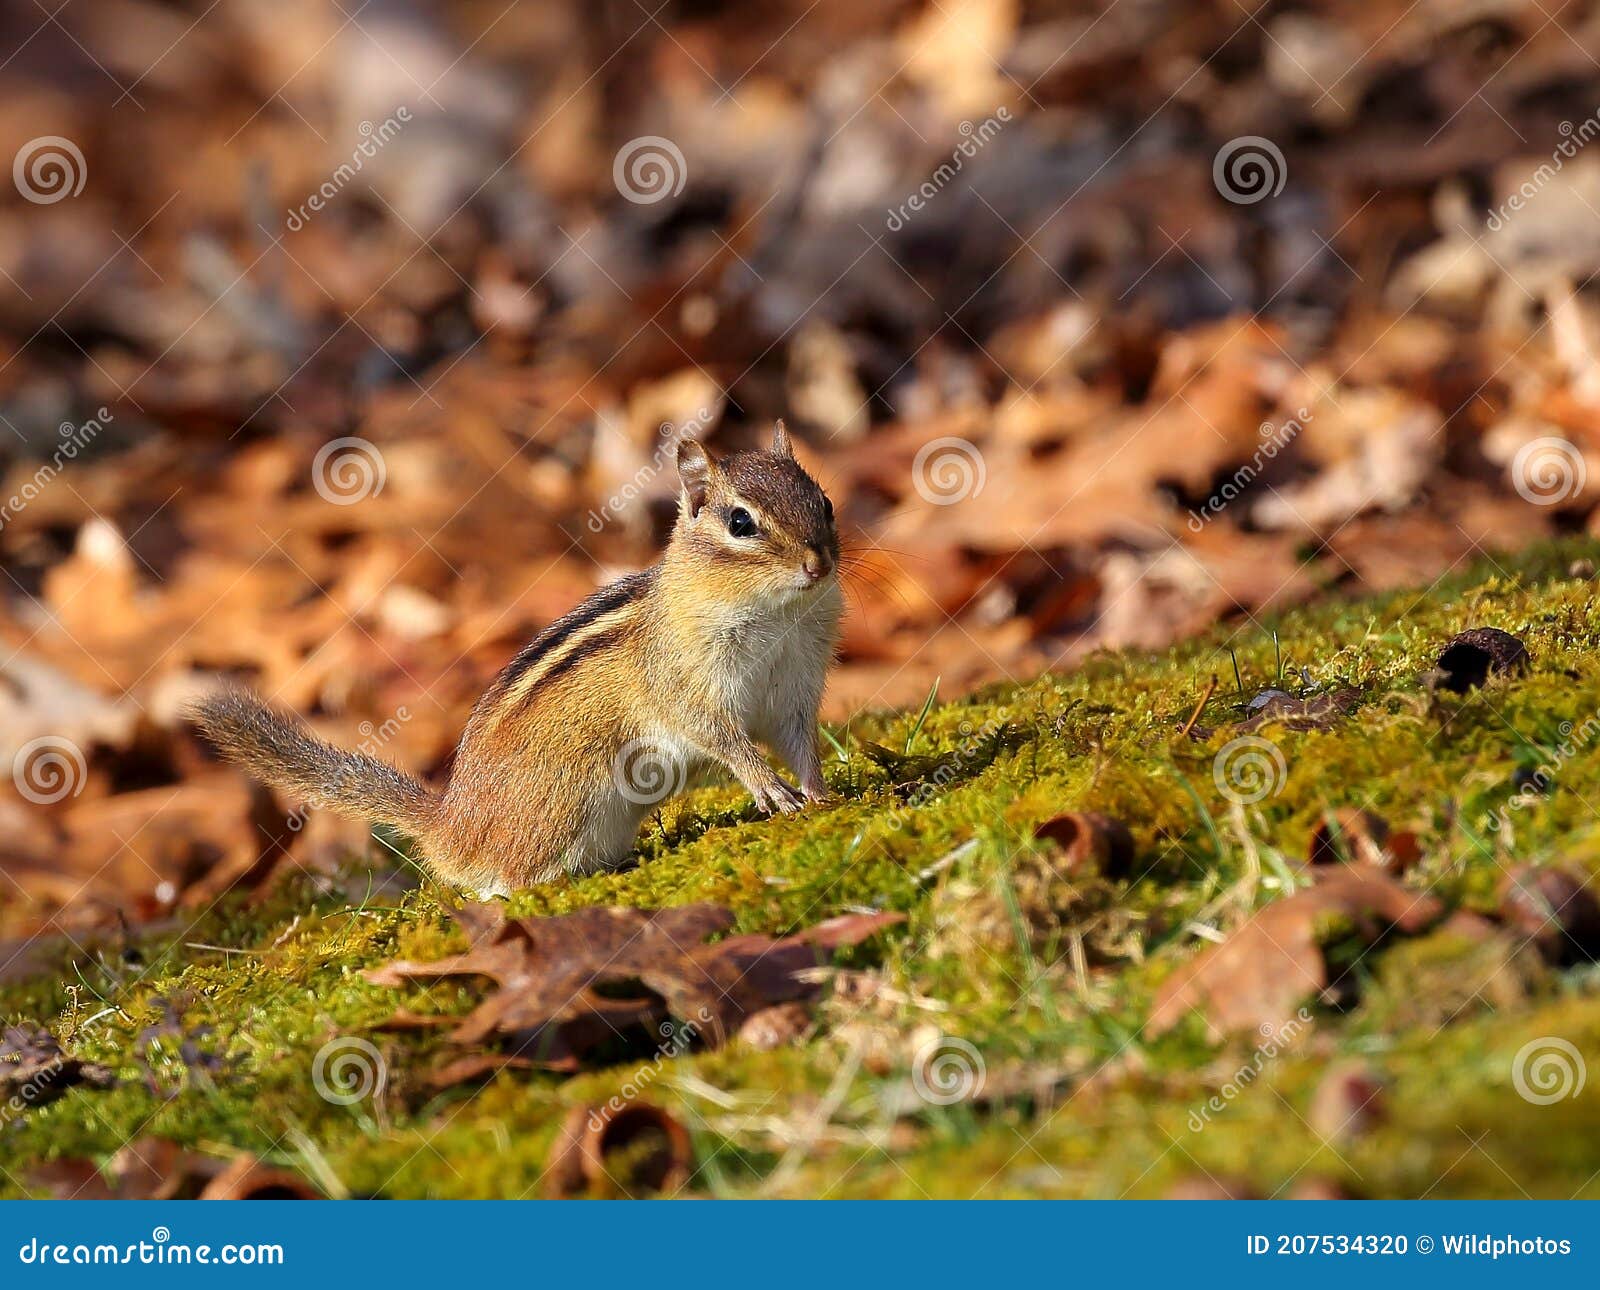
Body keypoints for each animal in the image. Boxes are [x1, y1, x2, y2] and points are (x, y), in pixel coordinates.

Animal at [190, 424, 842, 896]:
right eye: (740, 522)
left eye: (826, 503)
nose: (818, 564)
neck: (777, 616)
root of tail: (453, 825)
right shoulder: (685, 681)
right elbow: (722, 737)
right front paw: (770, 787)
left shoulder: (795, 688)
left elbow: (799, 741)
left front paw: (820, 795)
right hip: (567, 805)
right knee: (506, 881)